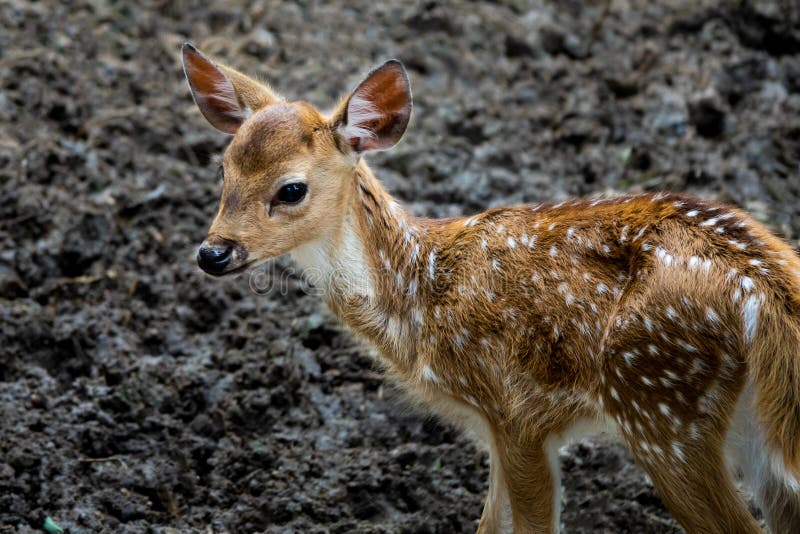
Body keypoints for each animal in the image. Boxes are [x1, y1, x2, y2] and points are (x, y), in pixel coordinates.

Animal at [181, 43, 800, 533]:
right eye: (222, 169)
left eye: (291, 189)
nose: (213, 253)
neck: (420, 296)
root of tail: (764, 285)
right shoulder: (497, 429)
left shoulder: (516, 412)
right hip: (749, 427)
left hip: (661, 404)